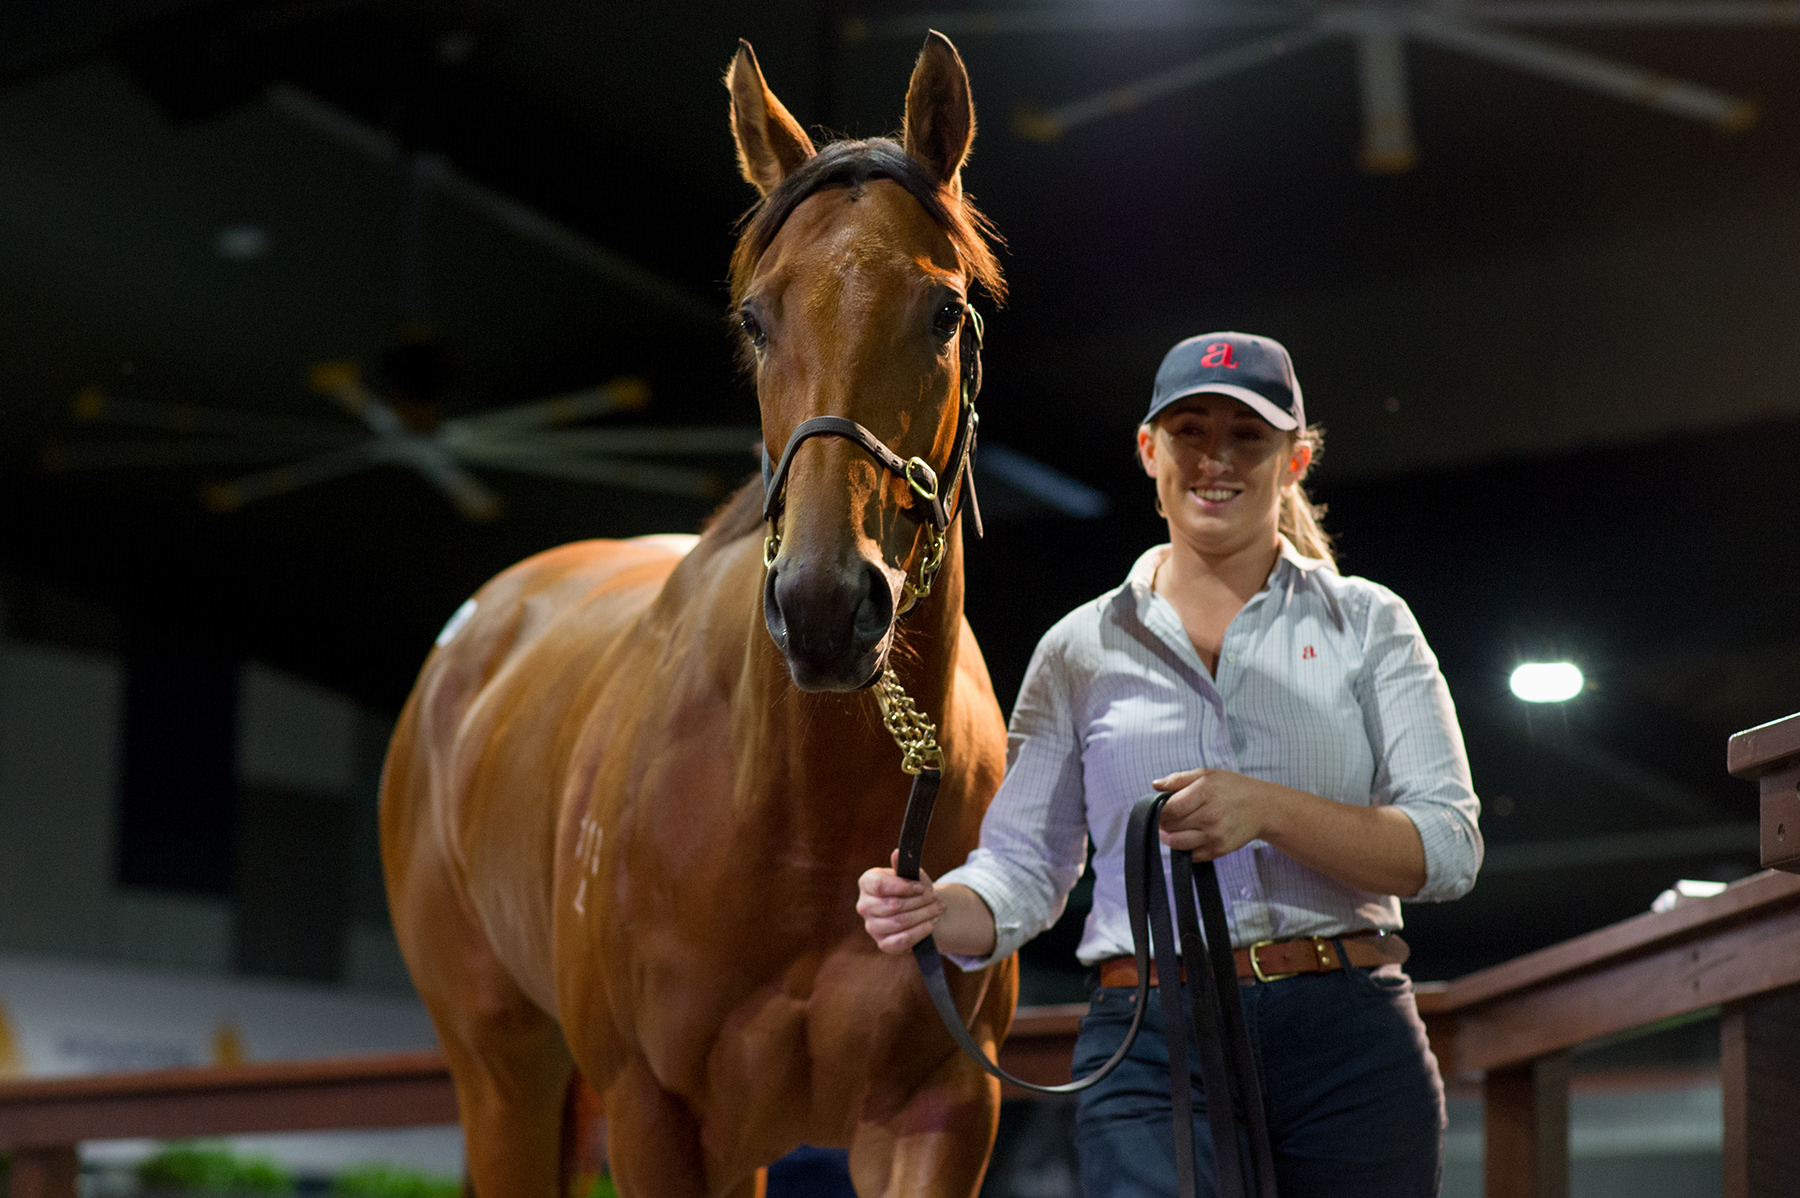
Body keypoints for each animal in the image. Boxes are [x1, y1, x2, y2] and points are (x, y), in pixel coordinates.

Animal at [380, 32, 1017, 1198]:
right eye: (756, 318)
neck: (799, 819)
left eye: (945, 311)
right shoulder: (656, 1116)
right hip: (503, 1078)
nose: (824, 605)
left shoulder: (943, 1111)